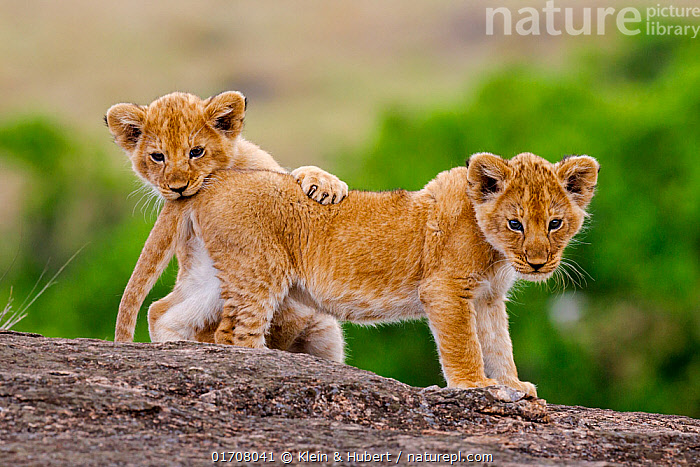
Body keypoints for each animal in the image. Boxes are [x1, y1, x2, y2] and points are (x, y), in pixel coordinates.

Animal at [107, 91, 347, 362]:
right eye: (158, 157)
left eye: (196, 152)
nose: (178, 188)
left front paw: (325, 185)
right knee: (161, 310)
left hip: (325, 329)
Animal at [119, 151, 599, 397]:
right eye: (515, 223)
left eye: (555, 223)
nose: (537, 262)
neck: (496, 251)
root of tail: (210, 182)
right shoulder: (446, 289)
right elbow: (464, 345)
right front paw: (478, 386)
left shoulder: (487, 297)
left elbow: (499, 343)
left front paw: (515, 385)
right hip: (260, 269)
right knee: (235, 333)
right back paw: (267, 361)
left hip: (217, 272)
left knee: (165, 310)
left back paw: (174, 351)